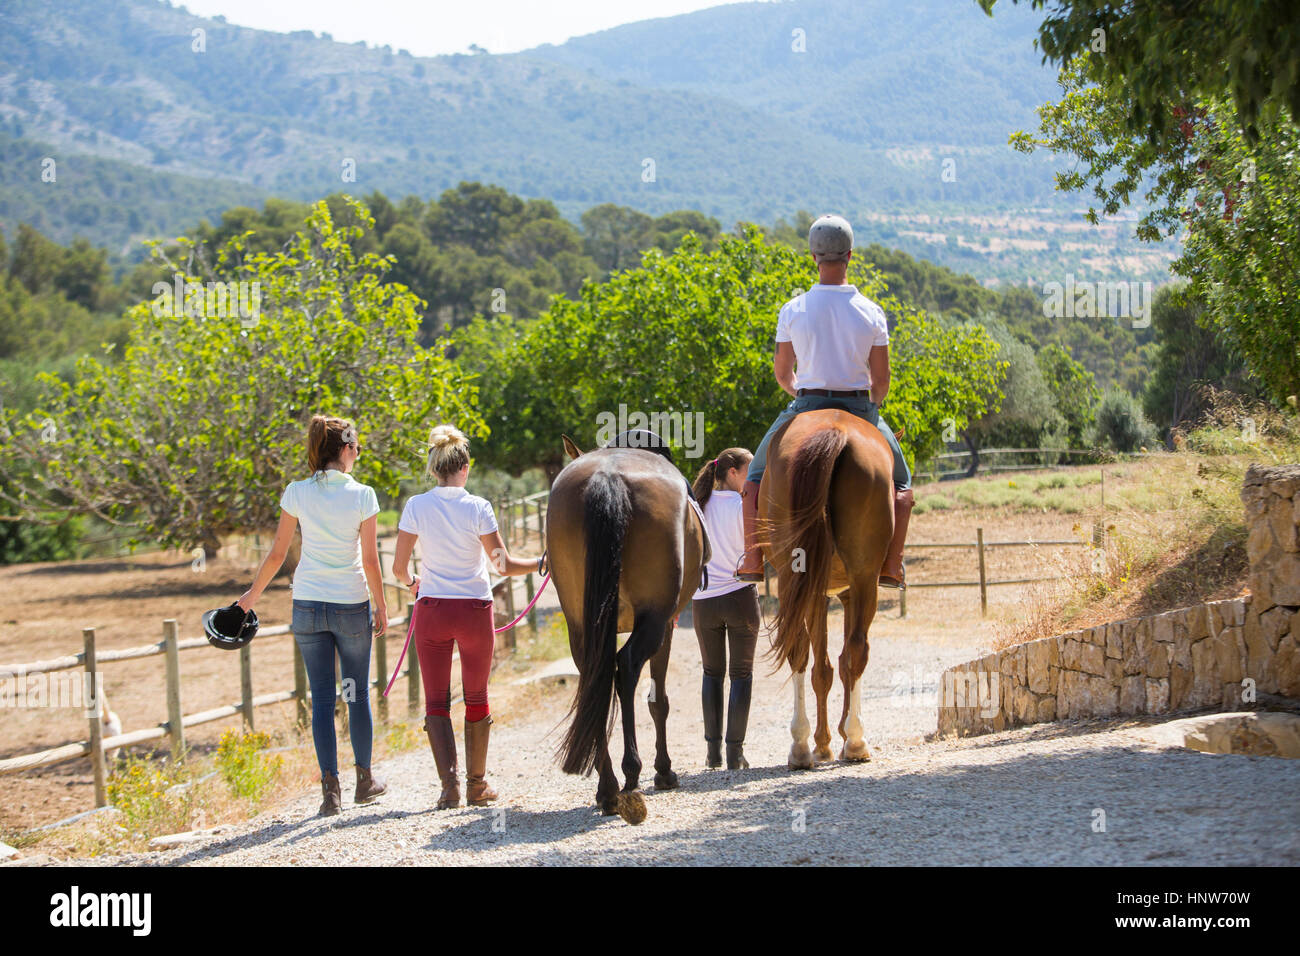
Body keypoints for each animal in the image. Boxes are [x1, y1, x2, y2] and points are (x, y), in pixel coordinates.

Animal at [546, 433, 709, 823]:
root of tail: (608, 475)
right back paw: (631, 776)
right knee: (628, 666)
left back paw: (607, 790)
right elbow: (658, 700)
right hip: (654, 619)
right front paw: (664, 771)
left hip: (581, 625)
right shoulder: (667, 625)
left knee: (597, 678)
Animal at [757, 408, 895, 769]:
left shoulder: (824, 593)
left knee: (804, 651)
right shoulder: (838, 593)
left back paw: (804, 745)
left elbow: (826, 668)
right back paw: (851, 742)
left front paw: (827, 742)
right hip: (860, 579)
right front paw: (832, 740)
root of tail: (835, 429)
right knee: (851, 651)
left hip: (797, 578)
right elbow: (833, 667)